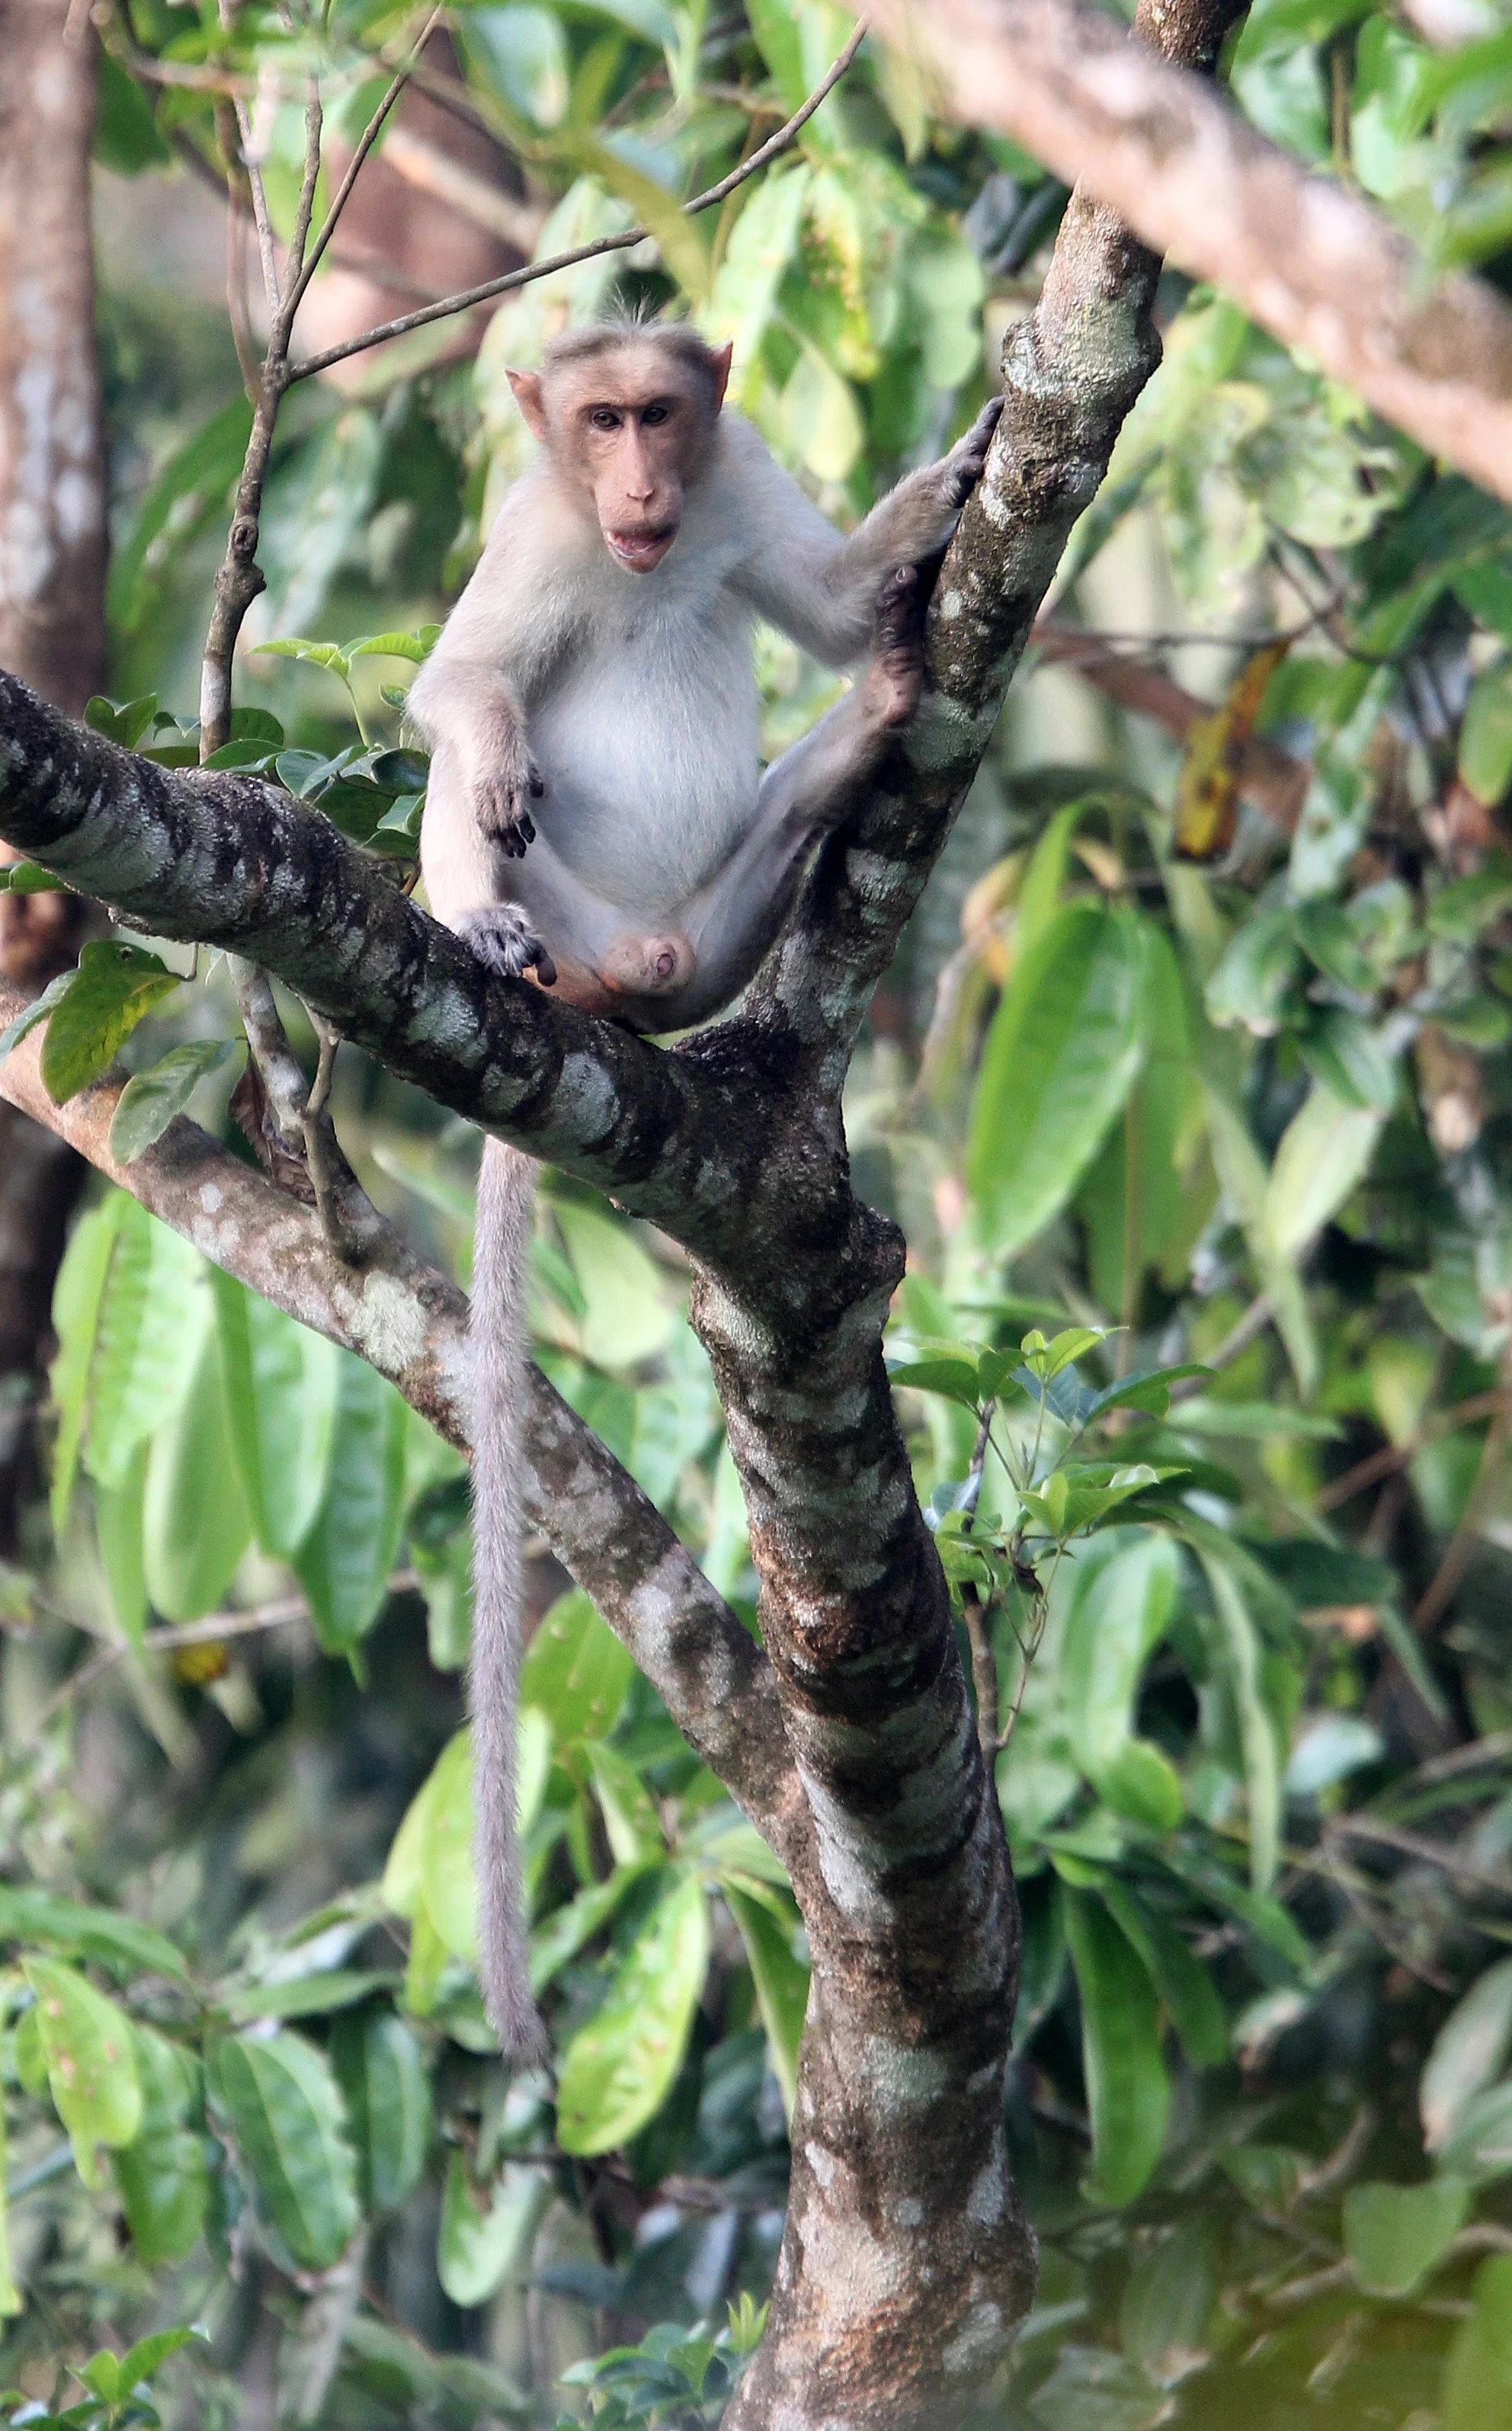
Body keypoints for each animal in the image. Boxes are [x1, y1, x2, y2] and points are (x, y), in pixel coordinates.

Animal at [409, 319, 1002, 2056]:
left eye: (660, 415)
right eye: (597, 419)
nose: (634, 481)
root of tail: (636, 970)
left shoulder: (735, 481)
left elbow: (826, 597)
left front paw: (949, 480)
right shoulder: (539, 535)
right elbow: (452, 687)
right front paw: (486, 760)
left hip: (722, 922)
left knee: (795, 795)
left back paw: (861, 737)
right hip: (575, 909)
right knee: (472, 803)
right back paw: (488, 930)